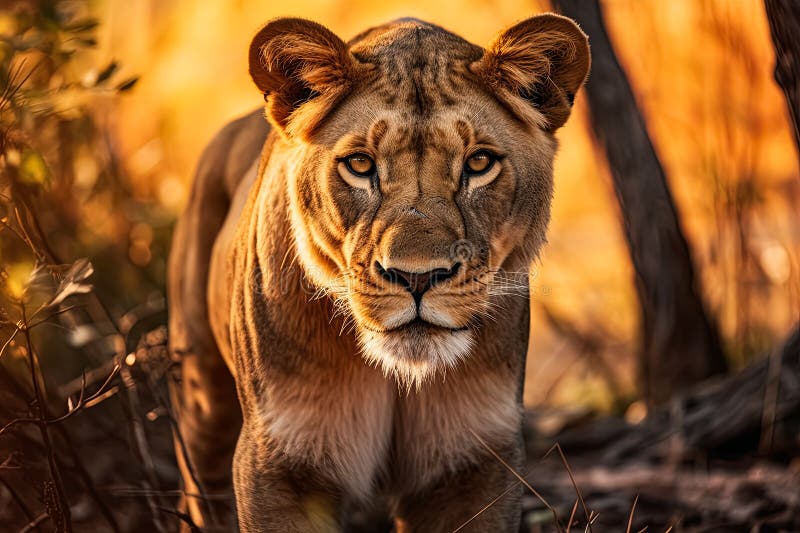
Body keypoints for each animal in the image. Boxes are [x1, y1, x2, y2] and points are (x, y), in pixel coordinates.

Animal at [167, 14, 589, 532]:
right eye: (360, 164)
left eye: (479, 163)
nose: (418, 277)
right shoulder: (279, 461)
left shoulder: (473, 462)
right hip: (201, 397)